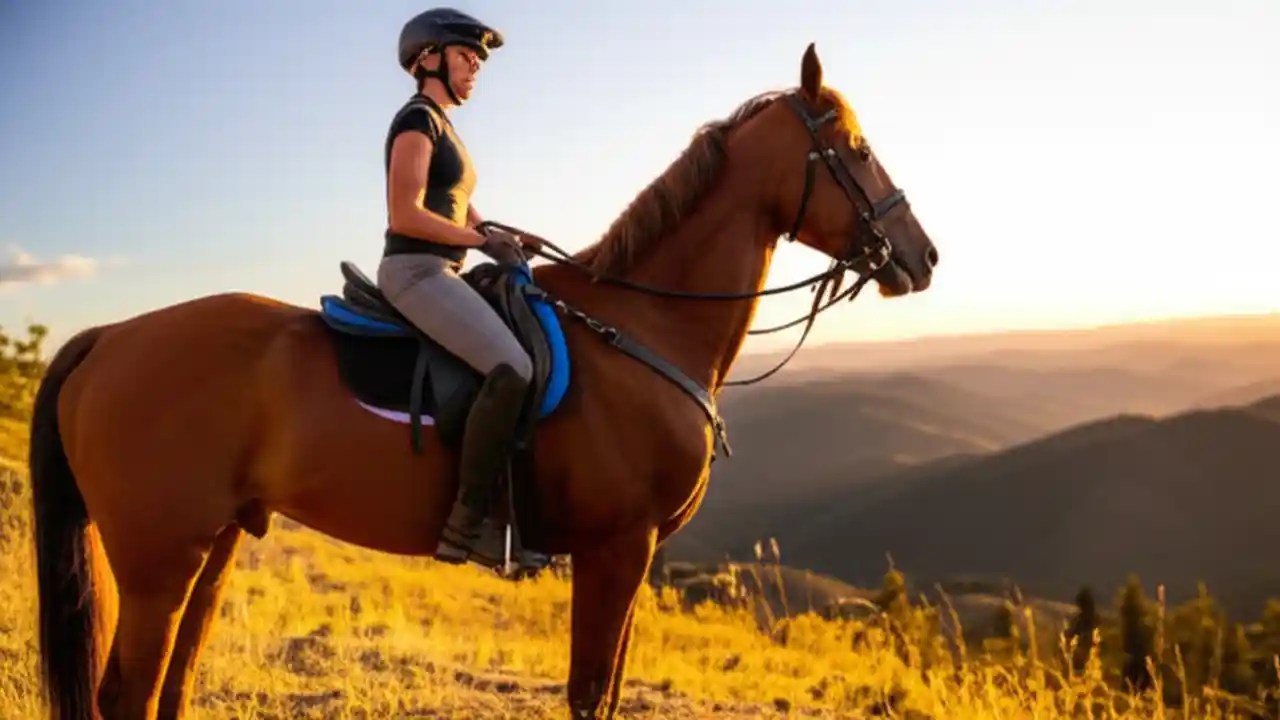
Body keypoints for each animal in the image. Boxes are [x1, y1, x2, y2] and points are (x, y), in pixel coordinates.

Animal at [27, 44, 938, 719]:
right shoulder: (618, 547)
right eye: (858, 151)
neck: (645, 327)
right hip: (157, 558)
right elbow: (588, 696)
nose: (922, 257)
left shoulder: (632, 555)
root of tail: (108, 337)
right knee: (126, 693)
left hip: (212, 544)